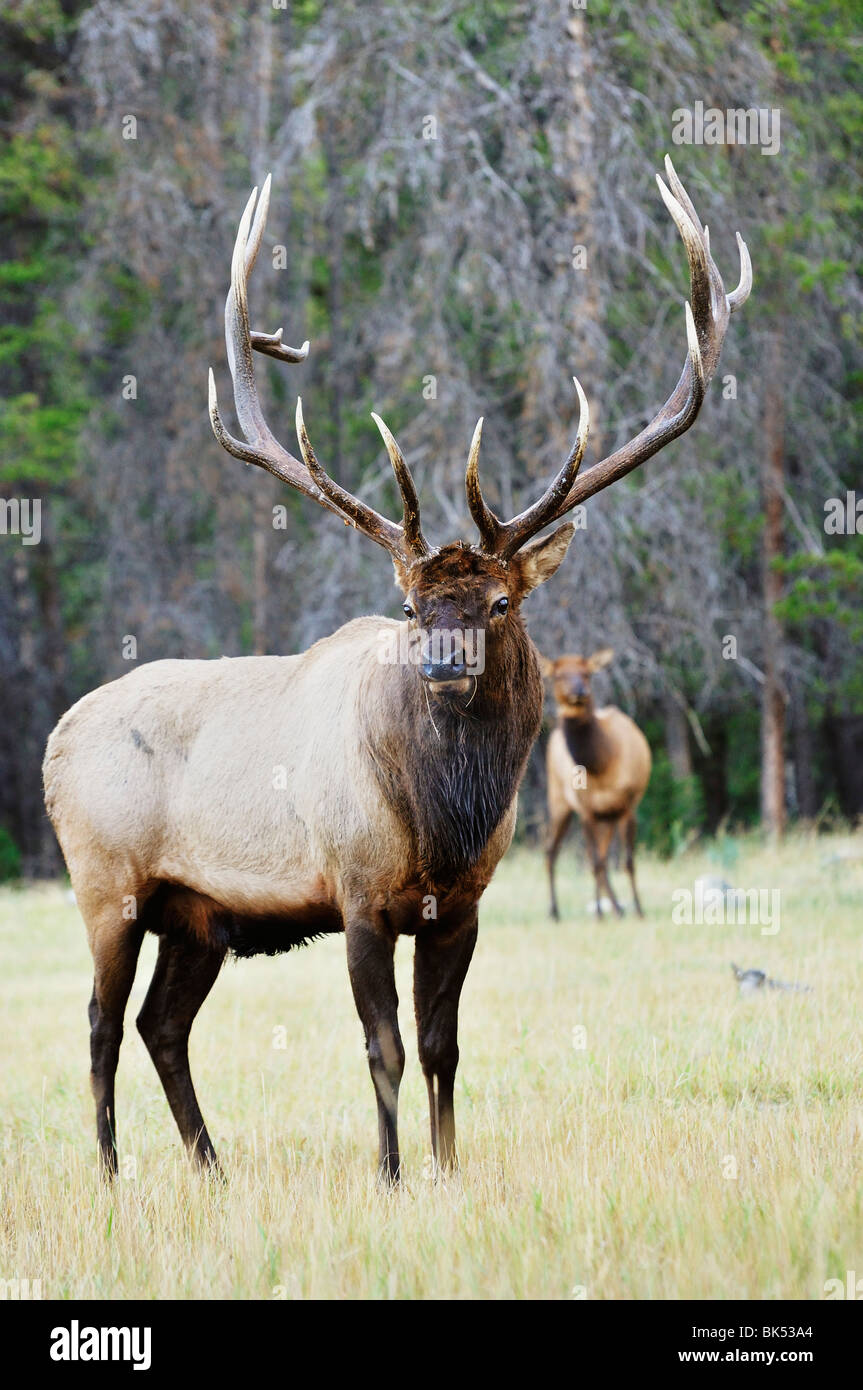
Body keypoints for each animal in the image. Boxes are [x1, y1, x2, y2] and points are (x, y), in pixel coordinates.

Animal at [544, 649, 652, 921]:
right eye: (557, 676)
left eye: (587, 673)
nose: (579, 691)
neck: (602, 764)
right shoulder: (586, 810)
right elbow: (594, 863)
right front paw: (600, 915)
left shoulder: (627, 806)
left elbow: (627, 861)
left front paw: (638, 910)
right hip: (559, 801)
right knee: (552, 850)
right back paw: (554, 911)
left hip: (608, 816)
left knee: (602, 857)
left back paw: (617, 908)